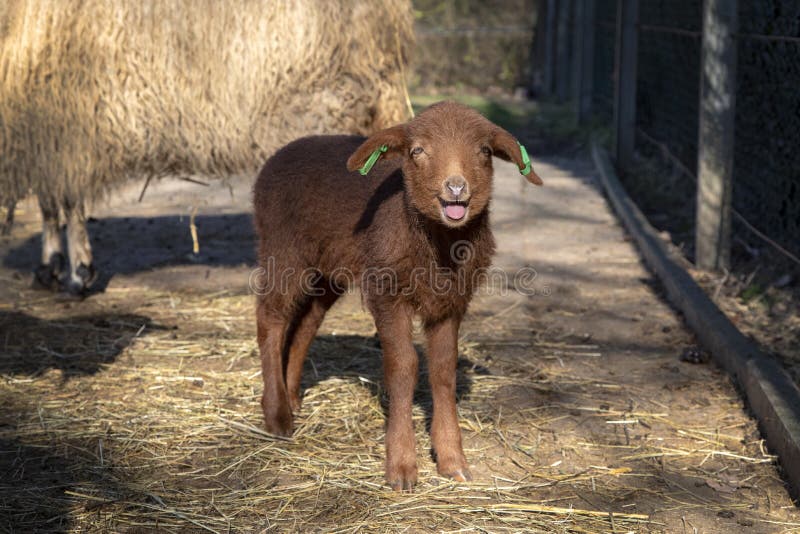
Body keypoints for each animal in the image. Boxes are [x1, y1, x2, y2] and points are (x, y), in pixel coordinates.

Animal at [0, 0, 413, 294]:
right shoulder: (42, 128)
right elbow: (49, 203)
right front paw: (49, 266)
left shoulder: (68, 124)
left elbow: (69, 202)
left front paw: (78, 272)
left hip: (334, 99)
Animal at [252, 101, 543, 490]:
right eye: (417, 150)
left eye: (484, 151)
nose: (455, 187)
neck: (437, 242)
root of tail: (278, 154)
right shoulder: (388, 294)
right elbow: (404, 366)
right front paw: (402, 466)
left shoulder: (451, 303)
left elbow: (443, 369)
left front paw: (452, 460)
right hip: (283, 250)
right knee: (272, 319)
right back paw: (277, 415)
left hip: (328, 270)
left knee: (305, 324)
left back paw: (293, 395)